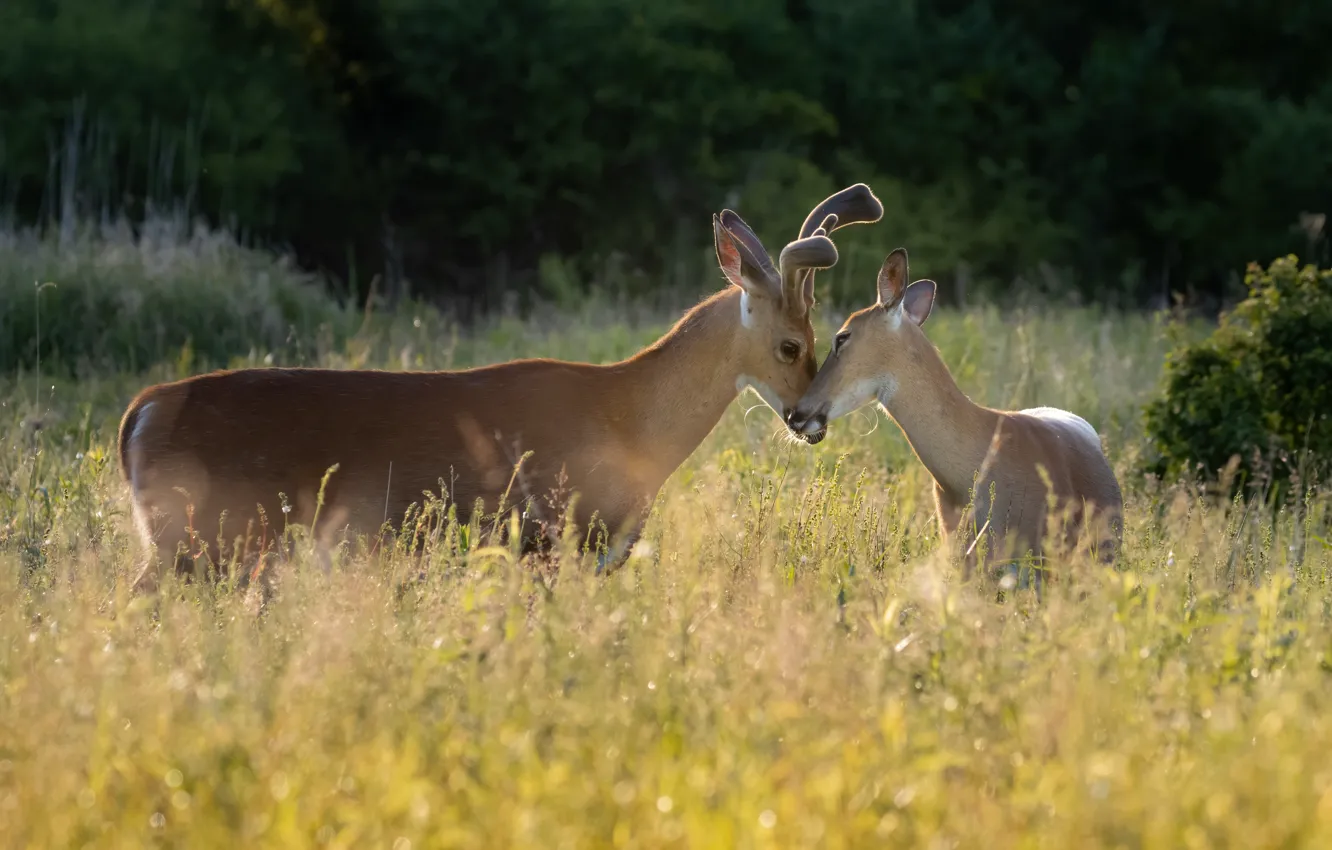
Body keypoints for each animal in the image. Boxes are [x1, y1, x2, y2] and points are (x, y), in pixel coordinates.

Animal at [117, 184, 885, 592]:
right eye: (792, 345)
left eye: (825, 338)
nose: (808, 420)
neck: (632, 422)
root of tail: (141, 411)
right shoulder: (551, 541)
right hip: (200, 534)